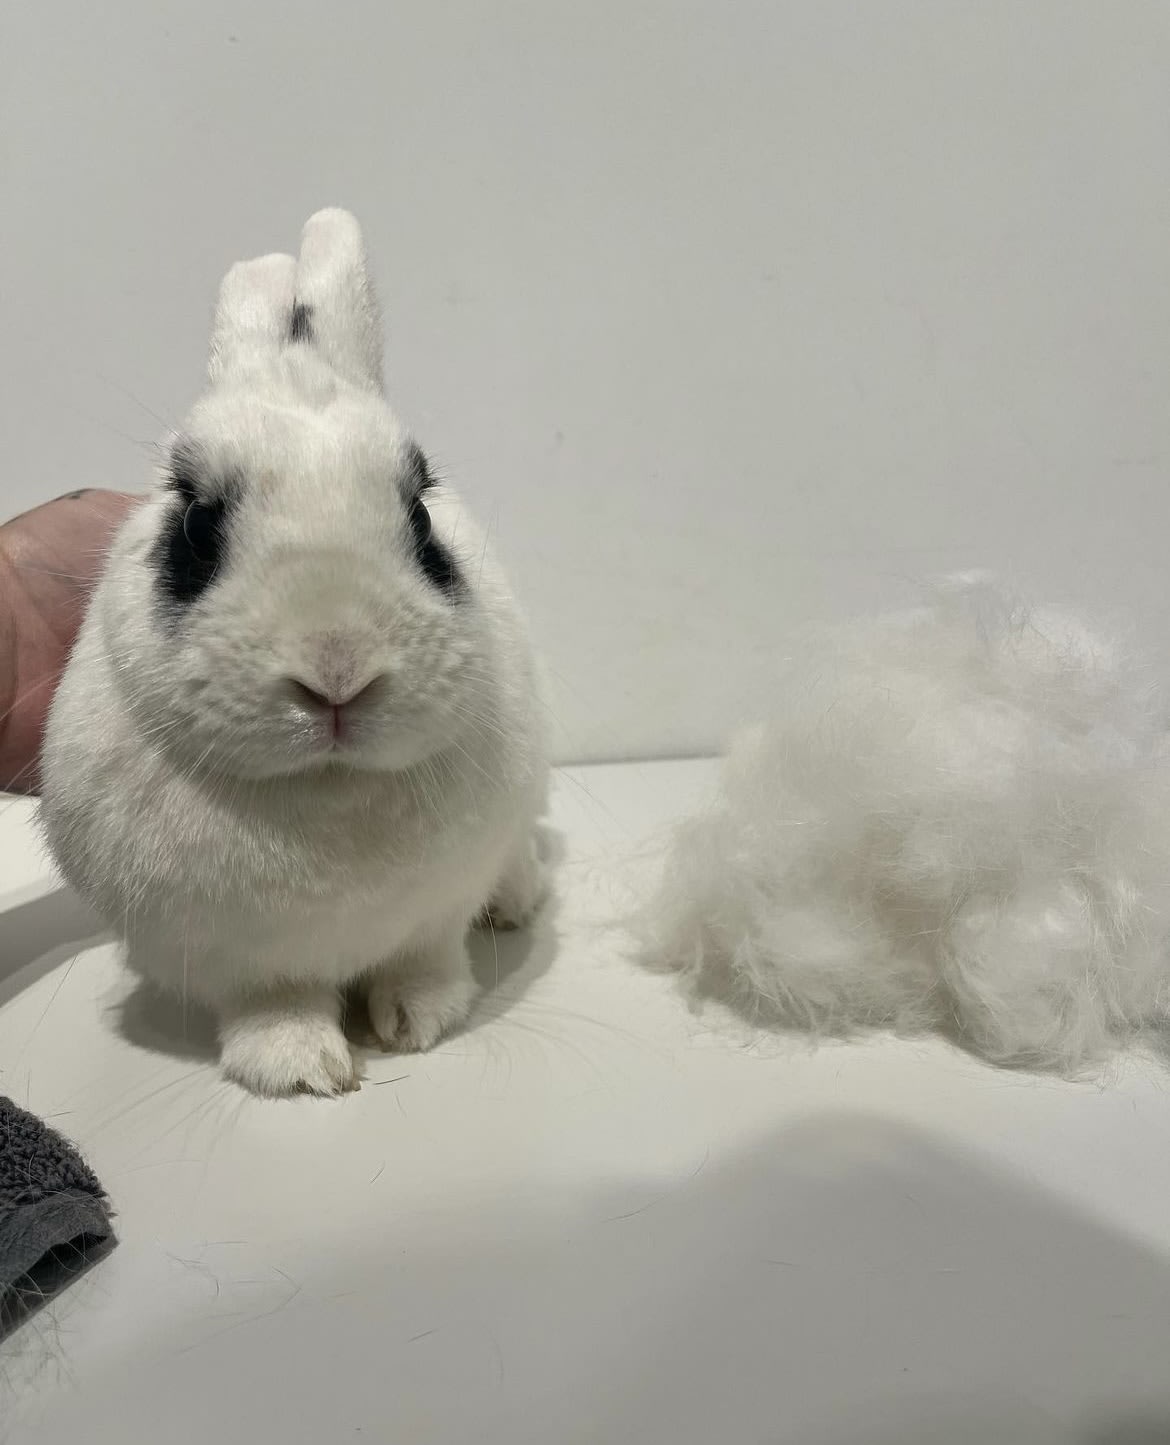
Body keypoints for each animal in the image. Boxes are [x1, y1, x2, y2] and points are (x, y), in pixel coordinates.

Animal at [40, 209, 549, 1097]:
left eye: (421, 521)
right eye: (195, 529)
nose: (337, 670)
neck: (328, 794)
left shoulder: (434, 920)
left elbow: (423, 965)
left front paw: (417, 1025)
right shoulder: (235, 961)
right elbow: (276, 1004)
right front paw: (302, 1068)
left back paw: (516, 900)